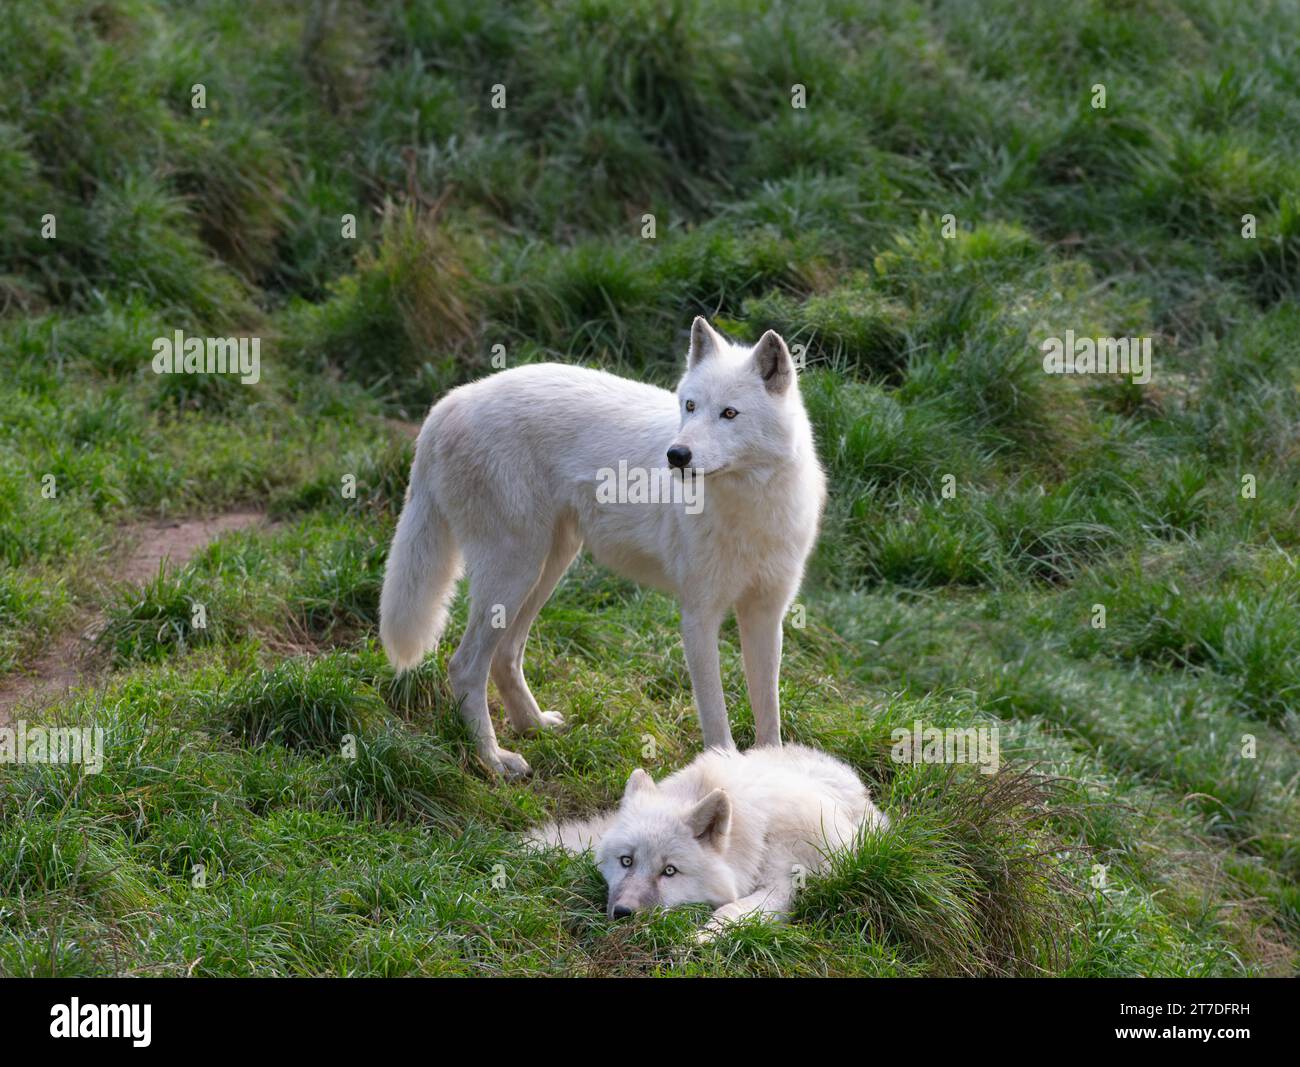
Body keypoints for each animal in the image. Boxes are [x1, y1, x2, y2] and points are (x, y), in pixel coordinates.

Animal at [379, 317, 826, 777]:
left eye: (730, 413)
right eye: (690, 406)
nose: (676, 455)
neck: (750, 508)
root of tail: (449, 401)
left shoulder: (766, 615)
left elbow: (768, 713)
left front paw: (776, 773)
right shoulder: (698, 616)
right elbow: (715, 714)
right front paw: (722, 770)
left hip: (547, 566)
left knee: (505, 655)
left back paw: (533, 726)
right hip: (515, 572)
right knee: (465, 665)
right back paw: (494, 759)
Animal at [528, 744, 889, 936]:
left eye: (670, 871)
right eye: (626, 861)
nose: (623, 913)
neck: (755, 833)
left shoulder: (785, 883)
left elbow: (731, 910)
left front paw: (696, 941)